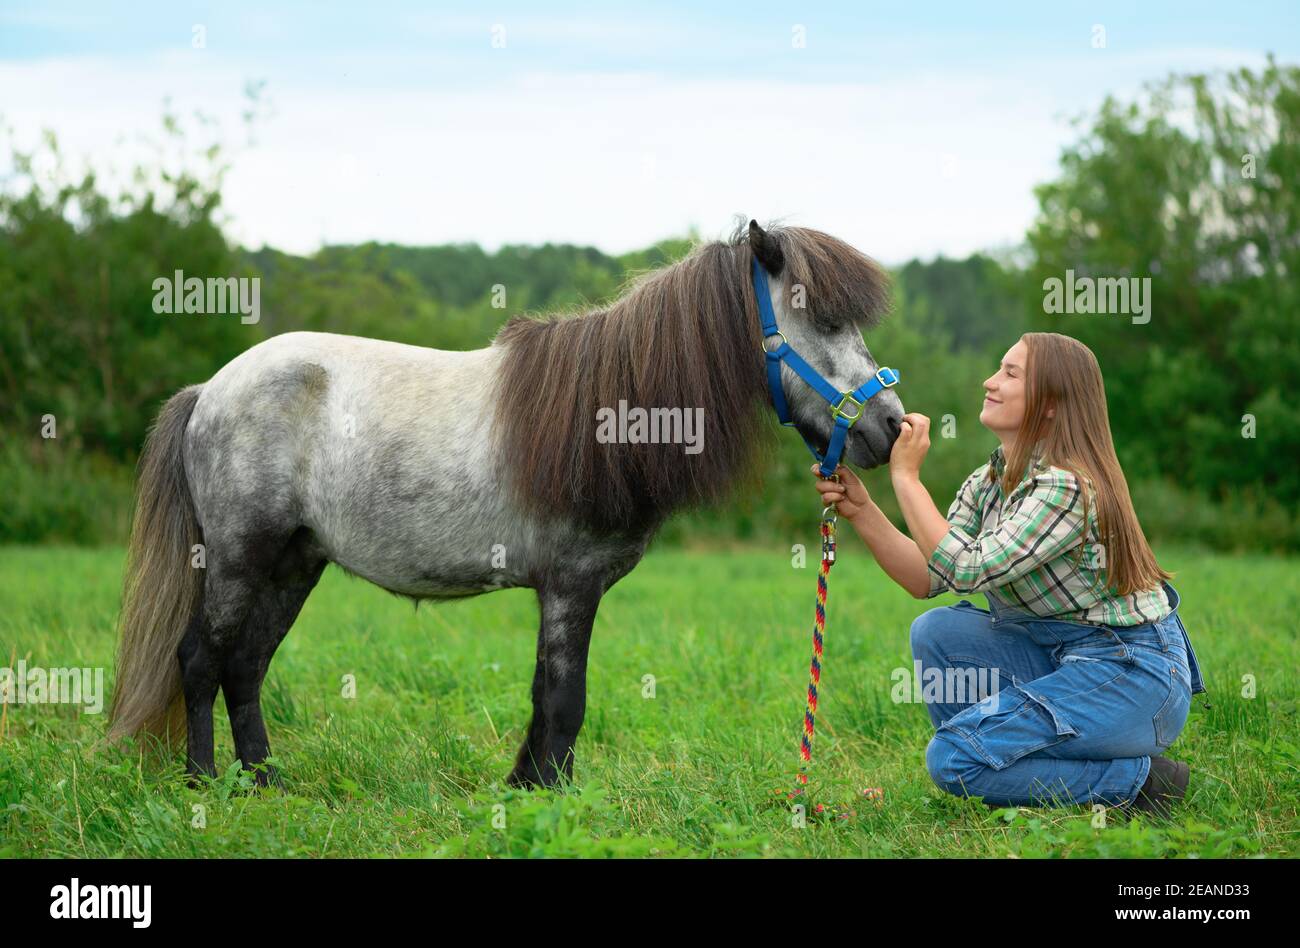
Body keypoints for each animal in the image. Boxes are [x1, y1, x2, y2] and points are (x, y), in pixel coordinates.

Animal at [107, 219, 905, 789]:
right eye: (823, 322)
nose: (891, 426)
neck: (605, 420)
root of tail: (210, 390)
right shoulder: (571, 585)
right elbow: (565, 701)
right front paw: (551, 797)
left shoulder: (561, 591)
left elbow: (545, 697)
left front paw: (531, 788)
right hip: (238, 559)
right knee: (201, 660)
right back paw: (205, 783)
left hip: (294, 564)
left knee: (245, 666)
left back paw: (265, 782)